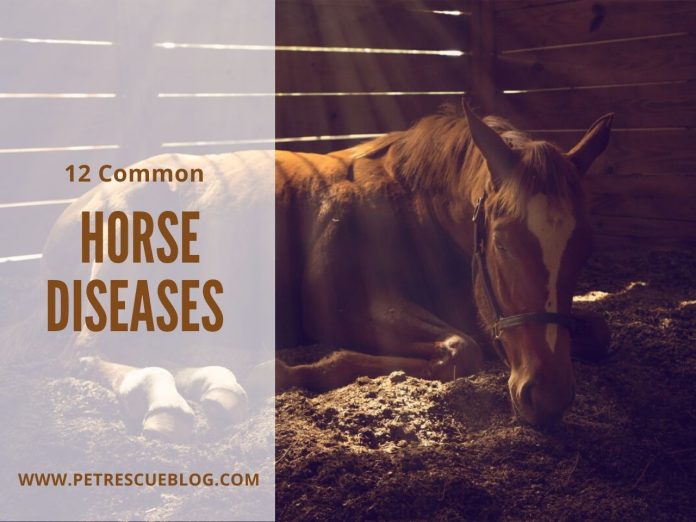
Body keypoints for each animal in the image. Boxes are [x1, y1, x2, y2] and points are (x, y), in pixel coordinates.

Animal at [33, 102, 612, 440]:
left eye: (585, 246)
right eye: (502, 241)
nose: (549, 396)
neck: (410, 204)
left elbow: (597, 331)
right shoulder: (346, 308)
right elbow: (459, 350)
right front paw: (285, 371)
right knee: (87, 352)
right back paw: (173, 400)